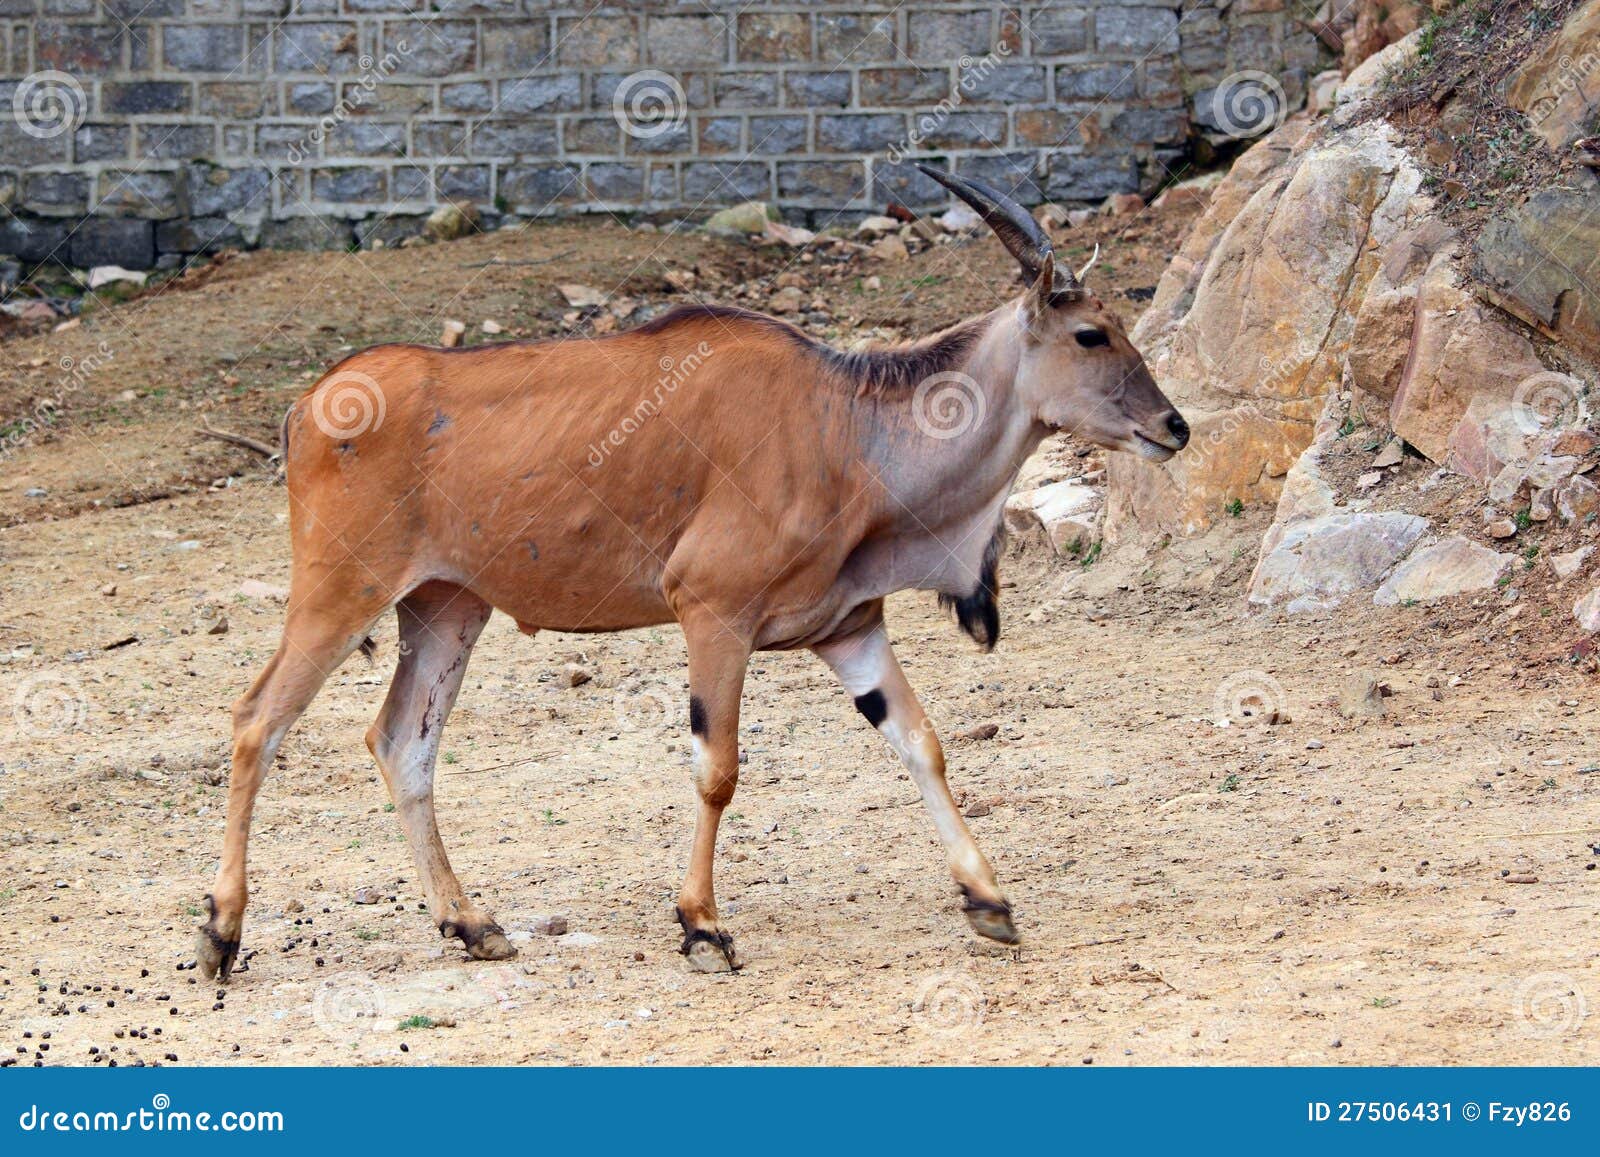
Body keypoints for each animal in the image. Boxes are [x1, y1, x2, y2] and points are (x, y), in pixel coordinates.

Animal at [195, 167, 1188, 979]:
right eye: (1091, 334)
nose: (1173, 426)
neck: (849, 427)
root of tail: (309, 405)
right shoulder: (713, 613)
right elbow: (719, 768)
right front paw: (702, 924)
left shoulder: (850, 629)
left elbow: (921, 741)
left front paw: (988, 900)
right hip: (340, 592)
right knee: (257, 721)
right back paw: (221, 933)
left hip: (447, 608)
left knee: (402, 741)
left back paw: (471, 922)